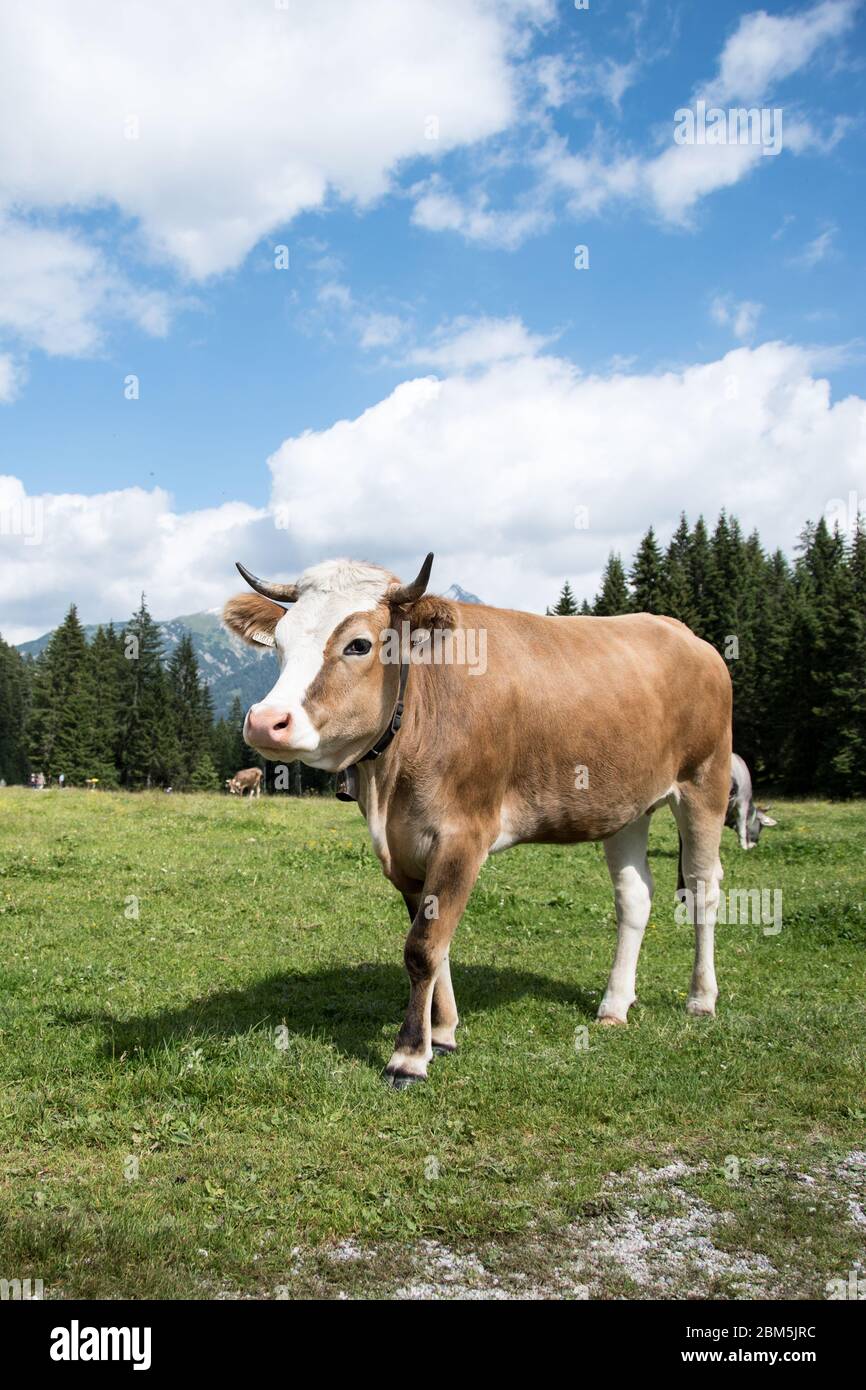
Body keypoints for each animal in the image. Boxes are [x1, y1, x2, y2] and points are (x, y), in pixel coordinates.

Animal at [223, 554, 732, 1088]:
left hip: (705, 781)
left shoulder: (462, 834)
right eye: (279, 643)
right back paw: (614, 1005)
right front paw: (443, 1033)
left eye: (358, 644)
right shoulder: (404, 847)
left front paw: (409, 1055)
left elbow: (423, 947)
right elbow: (436, 941)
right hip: (625, 806)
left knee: (703, 886)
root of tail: (683, 633)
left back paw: (701, 998)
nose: (265, 722)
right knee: (634, 896)